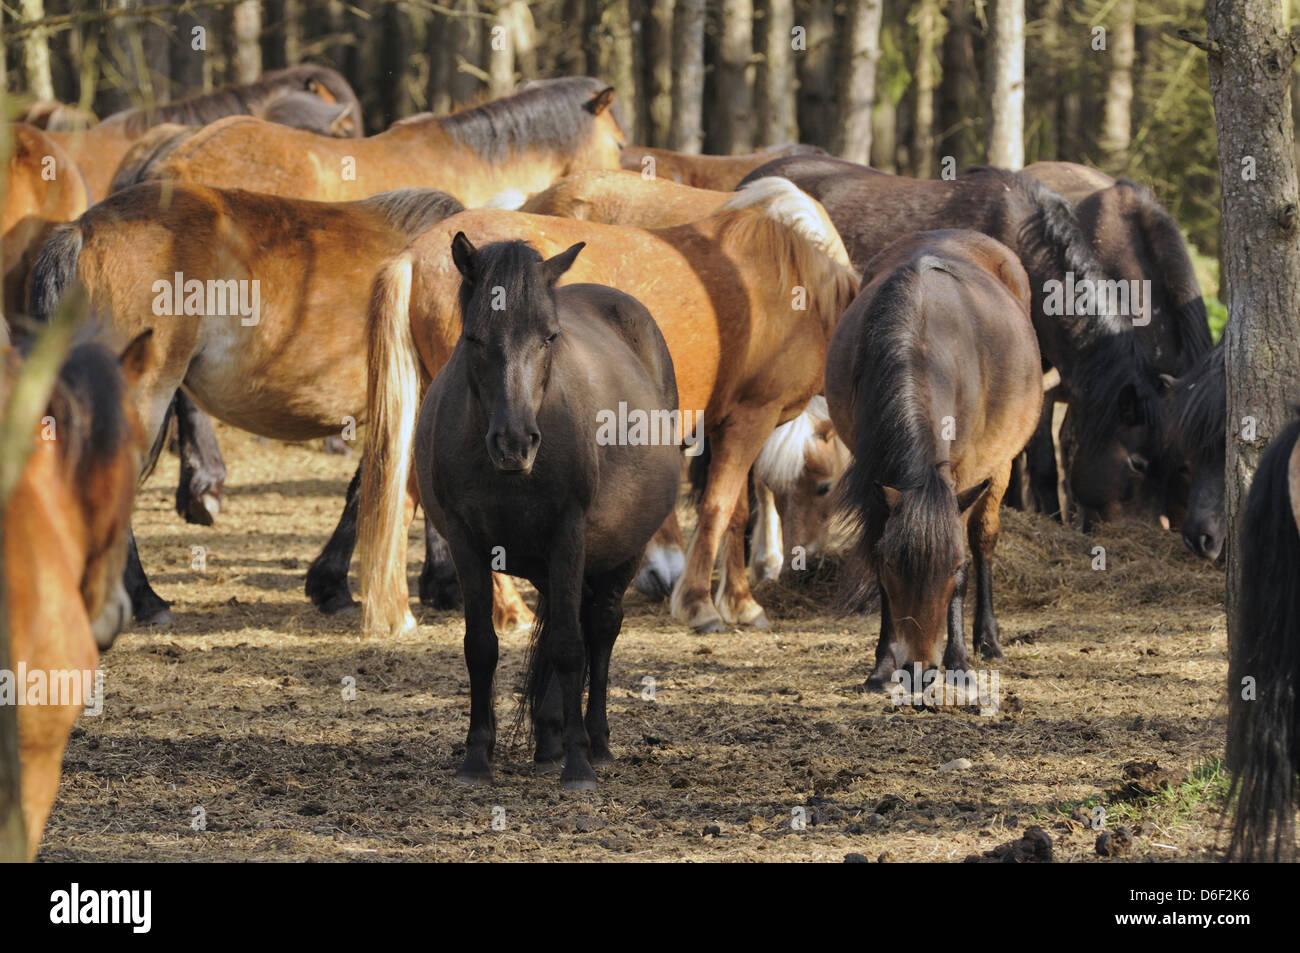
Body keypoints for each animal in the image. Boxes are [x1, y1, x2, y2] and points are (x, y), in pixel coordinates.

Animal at [358, 177, 859, 636]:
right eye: (824, 486)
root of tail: (414, 254)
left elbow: (736, 512)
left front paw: (740, 601)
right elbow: (718, 508)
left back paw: (398, 613)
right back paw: (512, 614)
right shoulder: (751, 417)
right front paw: (701, 604)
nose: (803, 563)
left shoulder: (730, 422)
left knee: (405, 499)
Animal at [418, 235, 680, 789]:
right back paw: (551, 738)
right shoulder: (465, 541)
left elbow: (568, 646)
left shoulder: (569, 536)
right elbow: (481, 646)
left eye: (549, 337)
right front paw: (477, 756)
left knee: (599, 629)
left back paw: (595, 741)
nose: (514, 443)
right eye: (473, 337)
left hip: (622, 551)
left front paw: (579, 765)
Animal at [825, 230, 1043, 688]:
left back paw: (988, 640)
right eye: (892, 567)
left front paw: (958, 660)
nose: (919, 667)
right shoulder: (878, 478)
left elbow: (965, 571)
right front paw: (881, 666)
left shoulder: (962, 478)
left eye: (950, 566)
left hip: (1000, 466)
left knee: (984, 538)